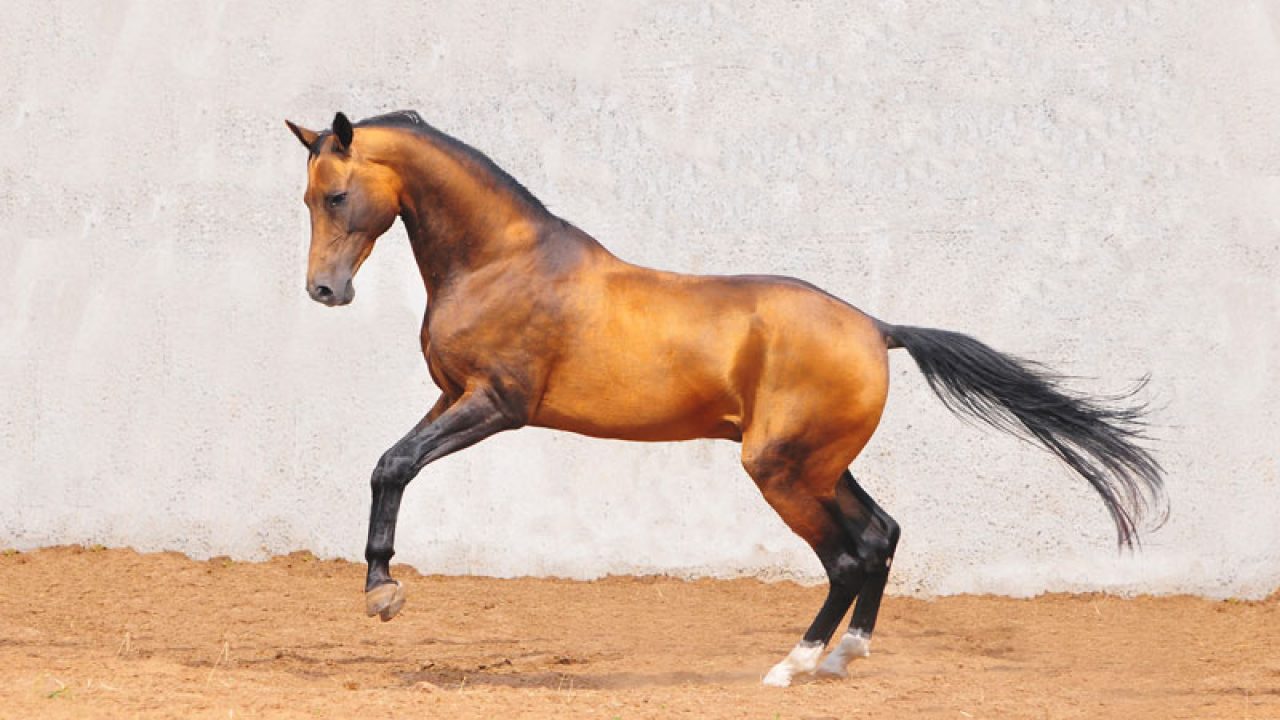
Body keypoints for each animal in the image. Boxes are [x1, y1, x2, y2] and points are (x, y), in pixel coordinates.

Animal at [283, 110, 1164, 687]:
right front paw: (381, 585)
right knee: (881, 535)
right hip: (815, 463)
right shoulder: (453, 397)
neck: (502, 261)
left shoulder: (496, 404)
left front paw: (382, 592)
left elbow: (396, 464)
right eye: (307, 197)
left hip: (781, 470)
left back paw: (792, 665)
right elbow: (386, 464)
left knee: (849, 554)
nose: (324, 291)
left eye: (335, 195)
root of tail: (877, 329)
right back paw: (844, 657)